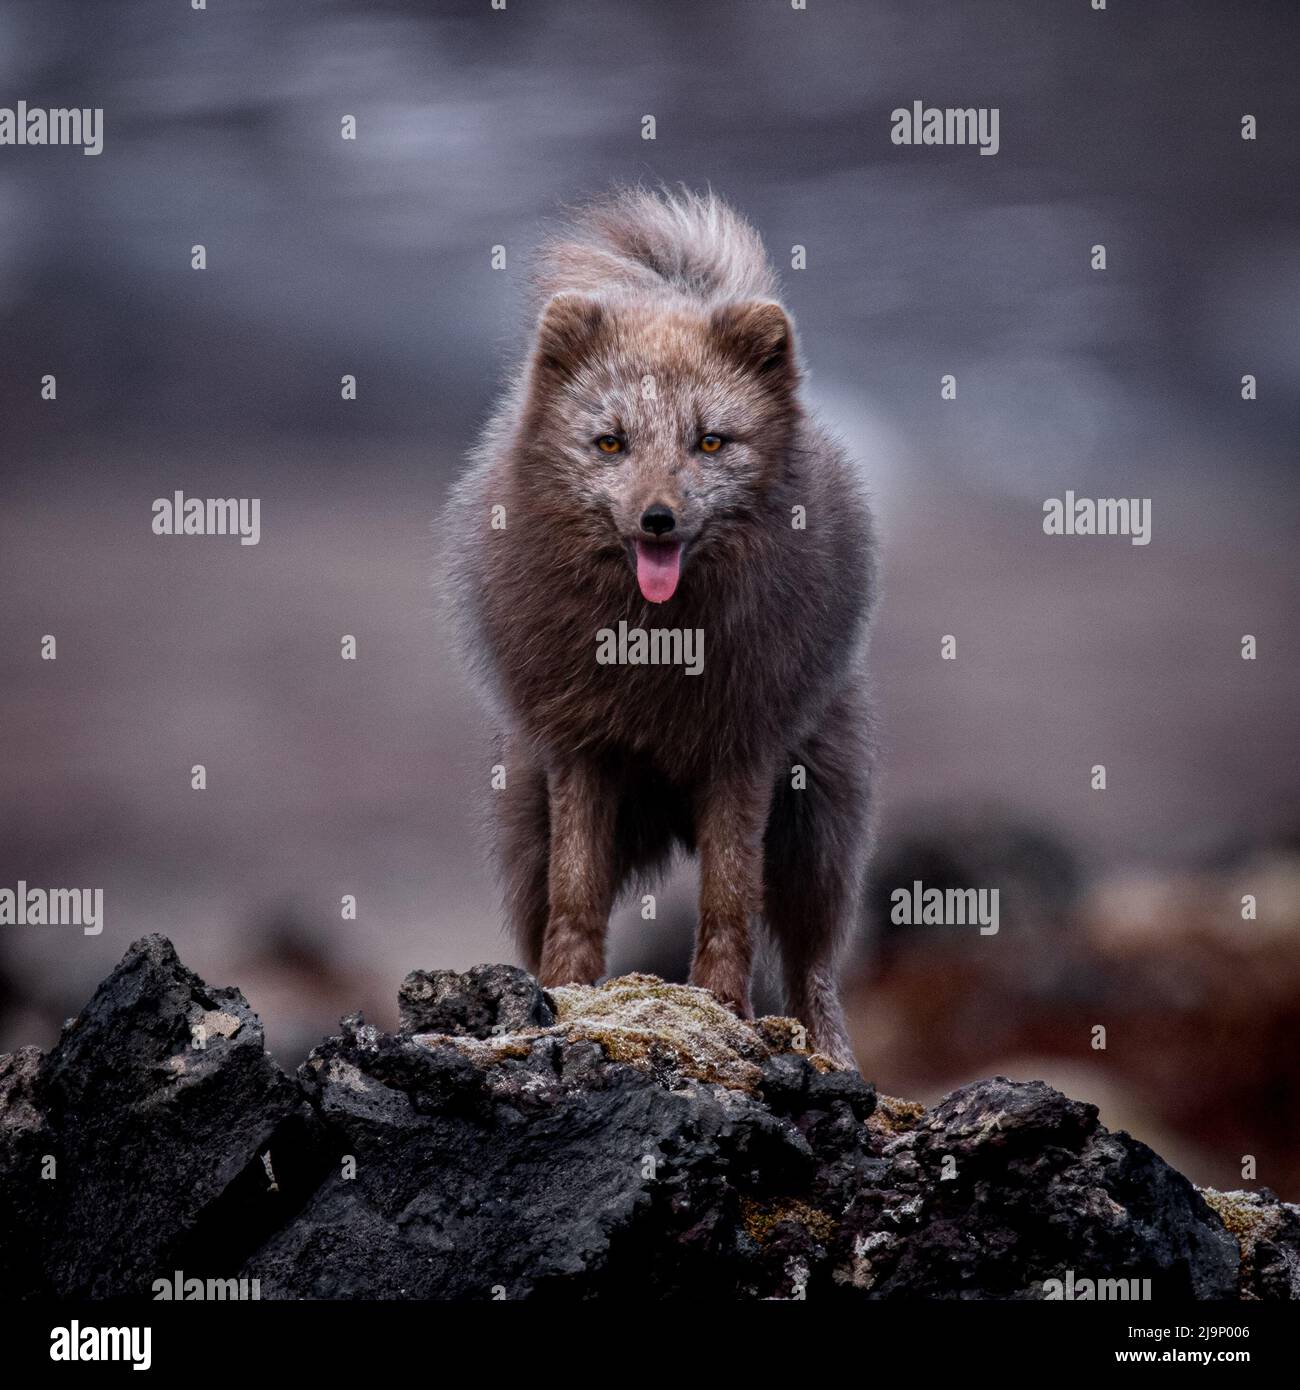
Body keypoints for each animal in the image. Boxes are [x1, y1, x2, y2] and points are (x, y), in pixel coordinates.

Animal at [444, 188, 878, 1065]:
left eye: (710, 441)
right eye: (610, 442)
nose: (657, 520)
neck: (657, 659)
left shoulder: (744, 752)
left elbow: (729, 901)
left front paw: (720, 1007)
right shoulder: (580, 752)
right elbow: (576, 896)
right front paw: (567, 997)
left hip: (819, 821)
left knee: (813, 959)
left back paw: (829, 1054)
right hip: (524, 819)